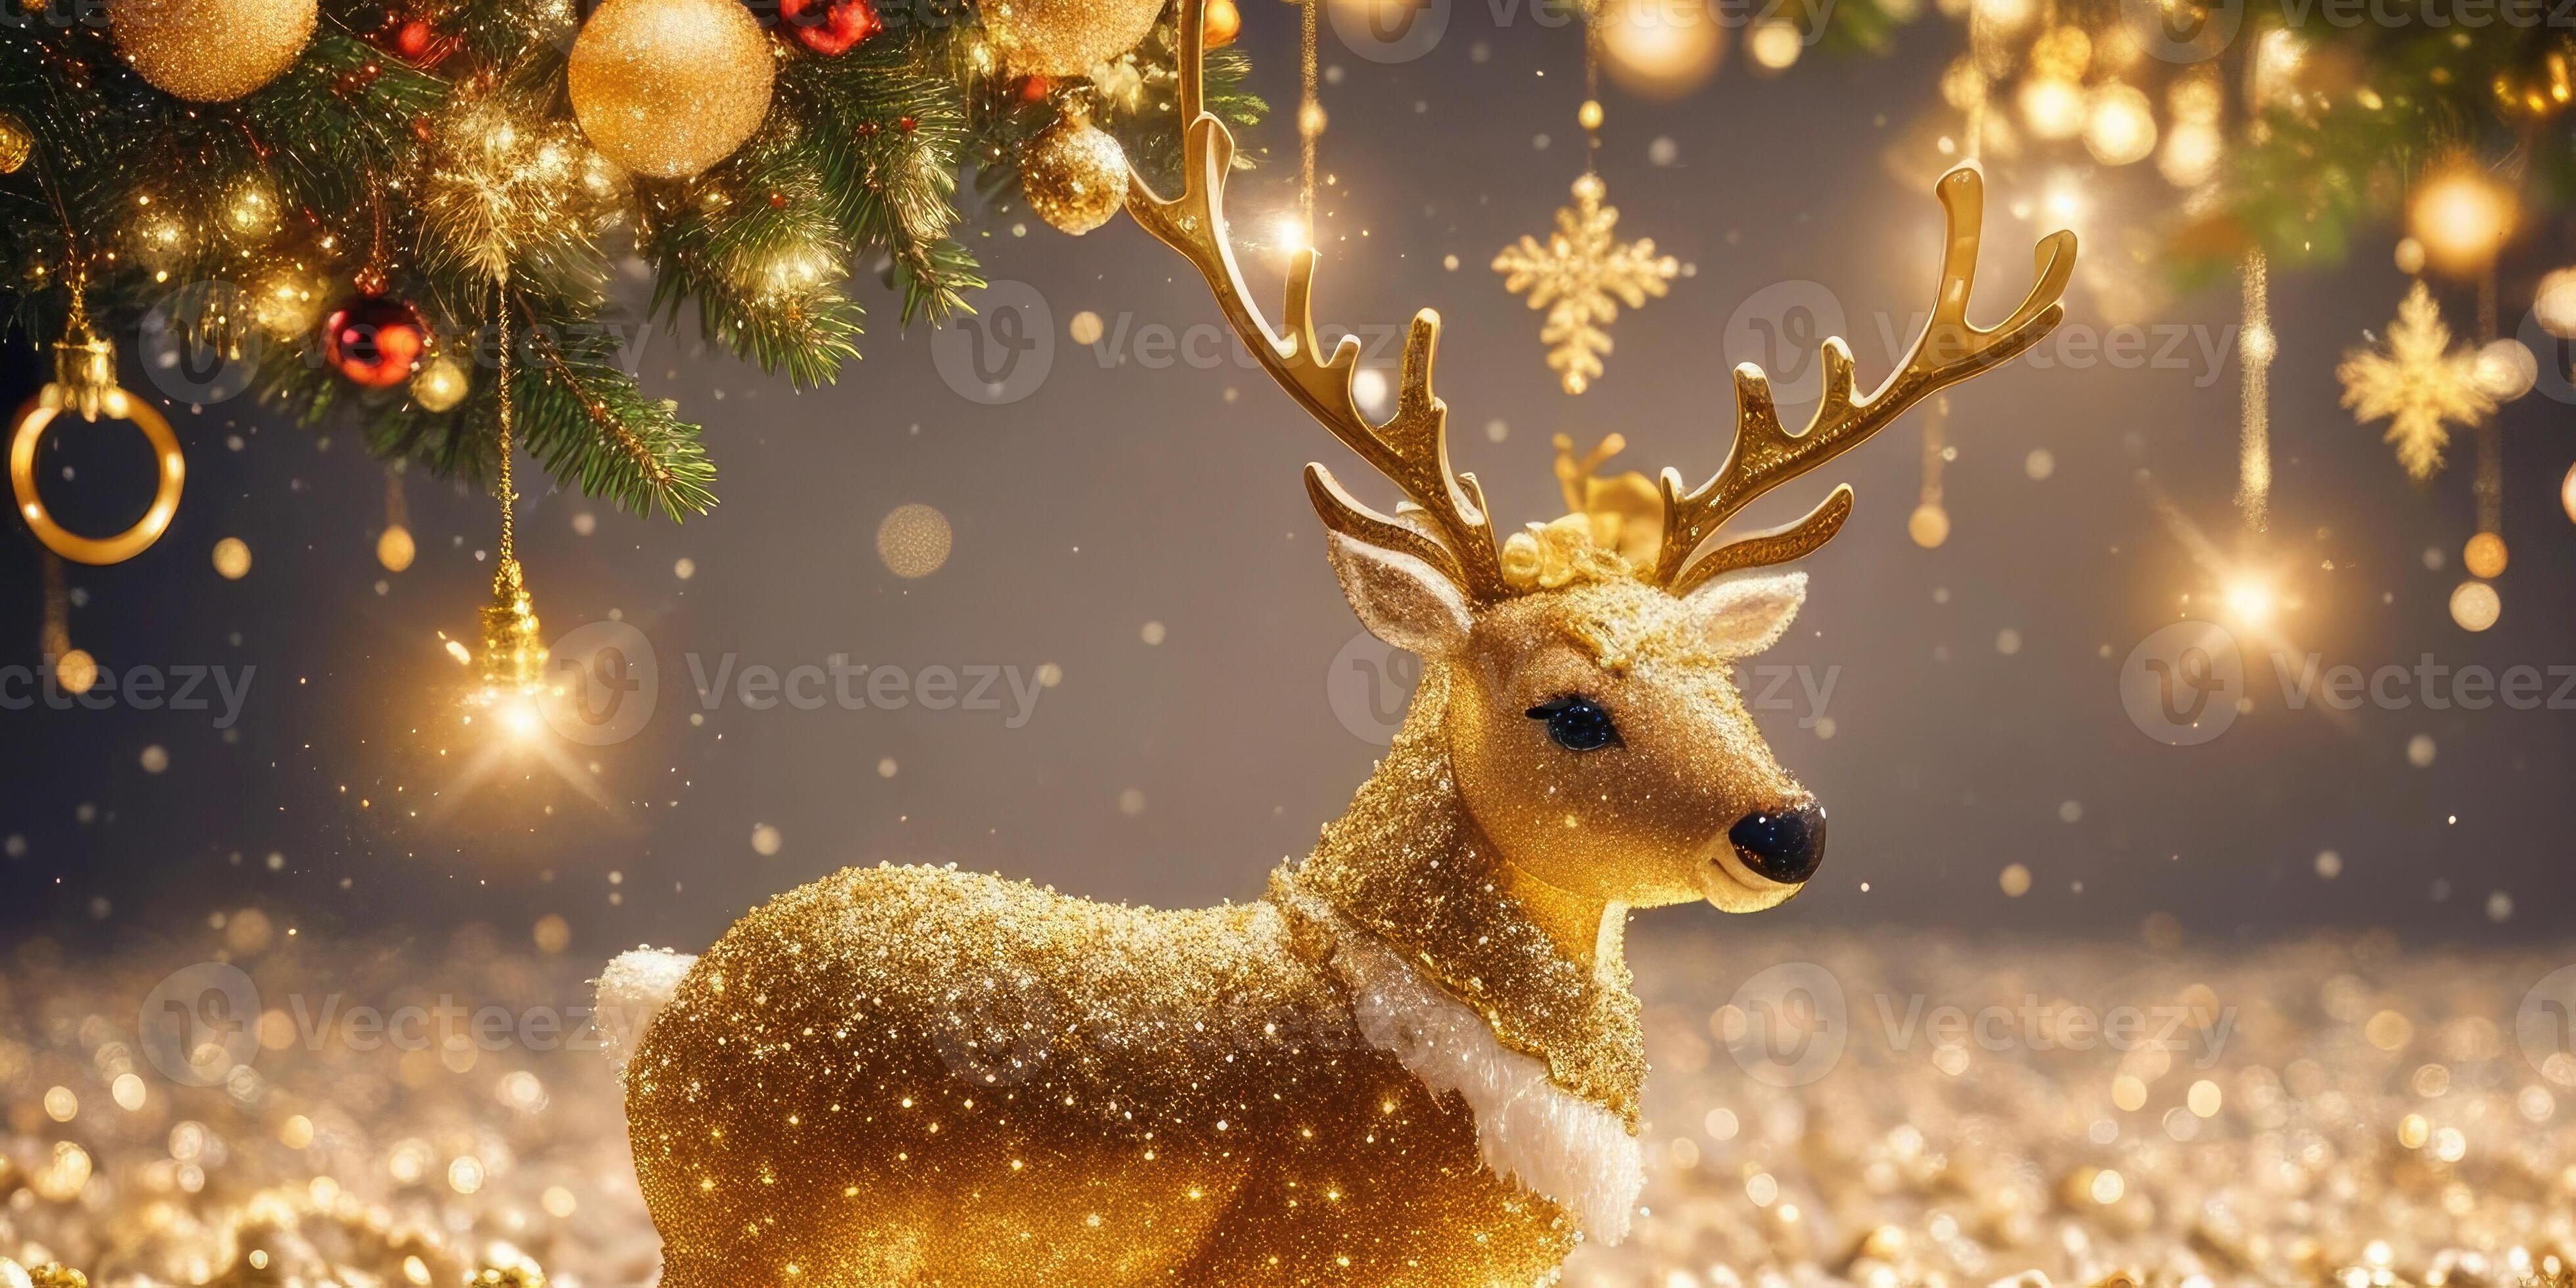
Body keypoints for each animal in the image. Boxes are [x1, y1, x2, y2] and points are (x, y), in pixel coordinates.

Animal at [596, 4, 2074, 1282]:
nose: (1788, 830)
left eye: (1726, 678)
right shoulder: (1287, 1254)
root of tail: (660, 1007)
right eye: (1569, 707)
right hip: (774, 1236)